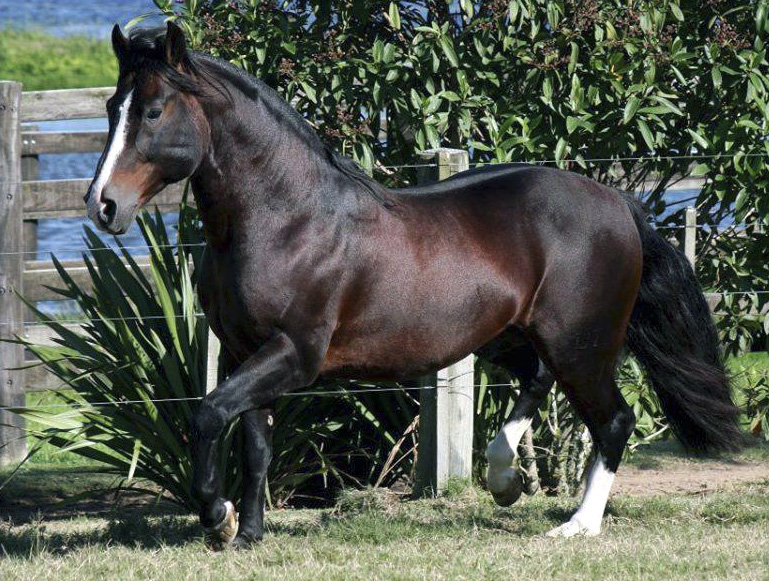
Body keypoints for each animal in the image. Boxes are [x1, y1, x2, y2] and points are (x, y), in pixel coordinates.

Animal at [84, 22, 742, 548]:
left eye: (152, 111)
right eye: (113, 106)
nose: (103, 205)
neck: (284, 218)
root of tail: (618, 203)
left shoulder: (294, 355)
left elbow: (208, 415)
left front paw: (216, 516)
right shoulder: (248, 351)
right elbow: (255, 445)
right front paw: (245, 535)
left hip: (582, 343)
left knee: (612, 420)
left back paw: (577, 525)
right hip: (508, 336)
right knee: (535, 380)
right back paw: (504, 479)